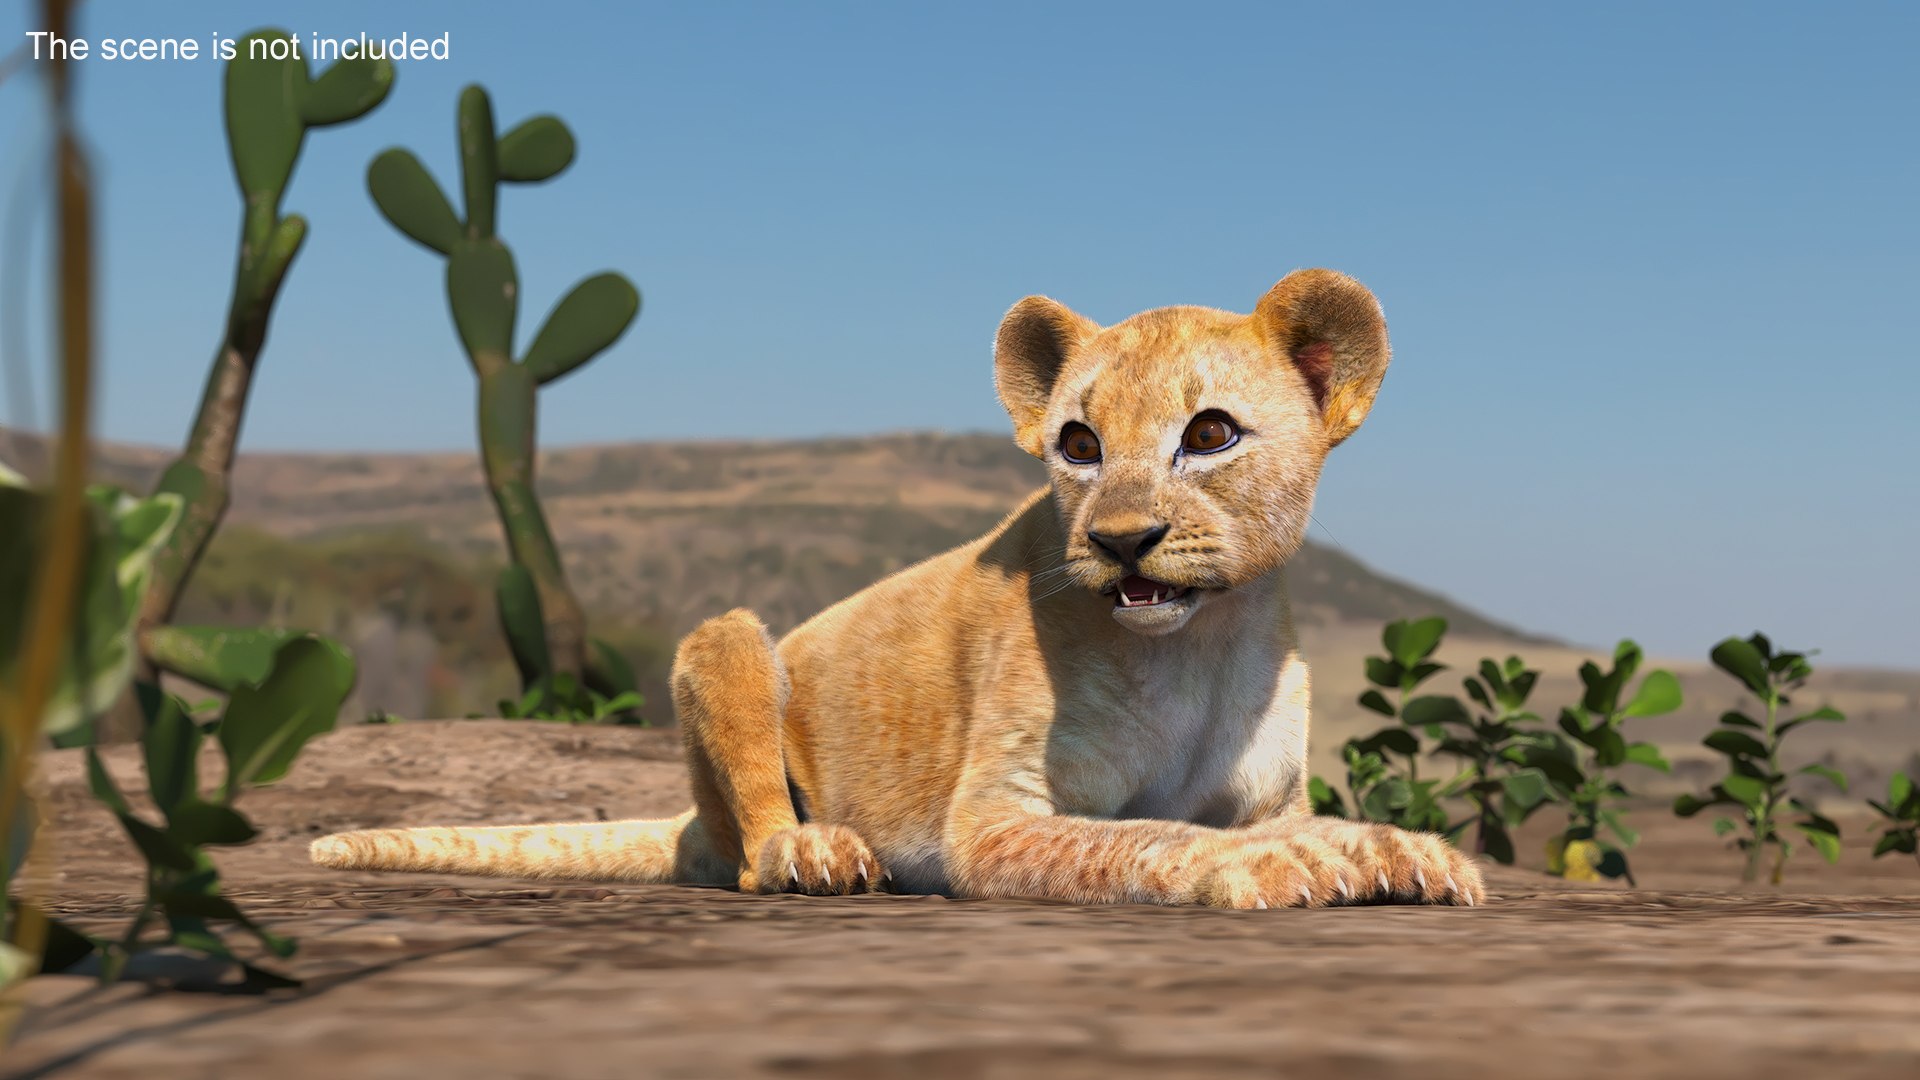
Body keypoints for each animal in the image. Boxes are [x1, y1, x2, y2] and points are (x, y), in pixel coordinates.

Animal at [311, 269, 1486, 908]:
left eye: (1209, 435)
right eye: (1078, 443)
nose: (1119, 541)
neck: (1198, 648)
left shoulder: (1267, 788)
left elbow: (1300, 822)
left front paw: (1398, 850)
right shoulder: (995, 820)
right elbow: (1151, 835)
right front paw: (1282, 863)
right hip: (726, 640)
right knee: (751, 851)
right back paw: (817, 851)